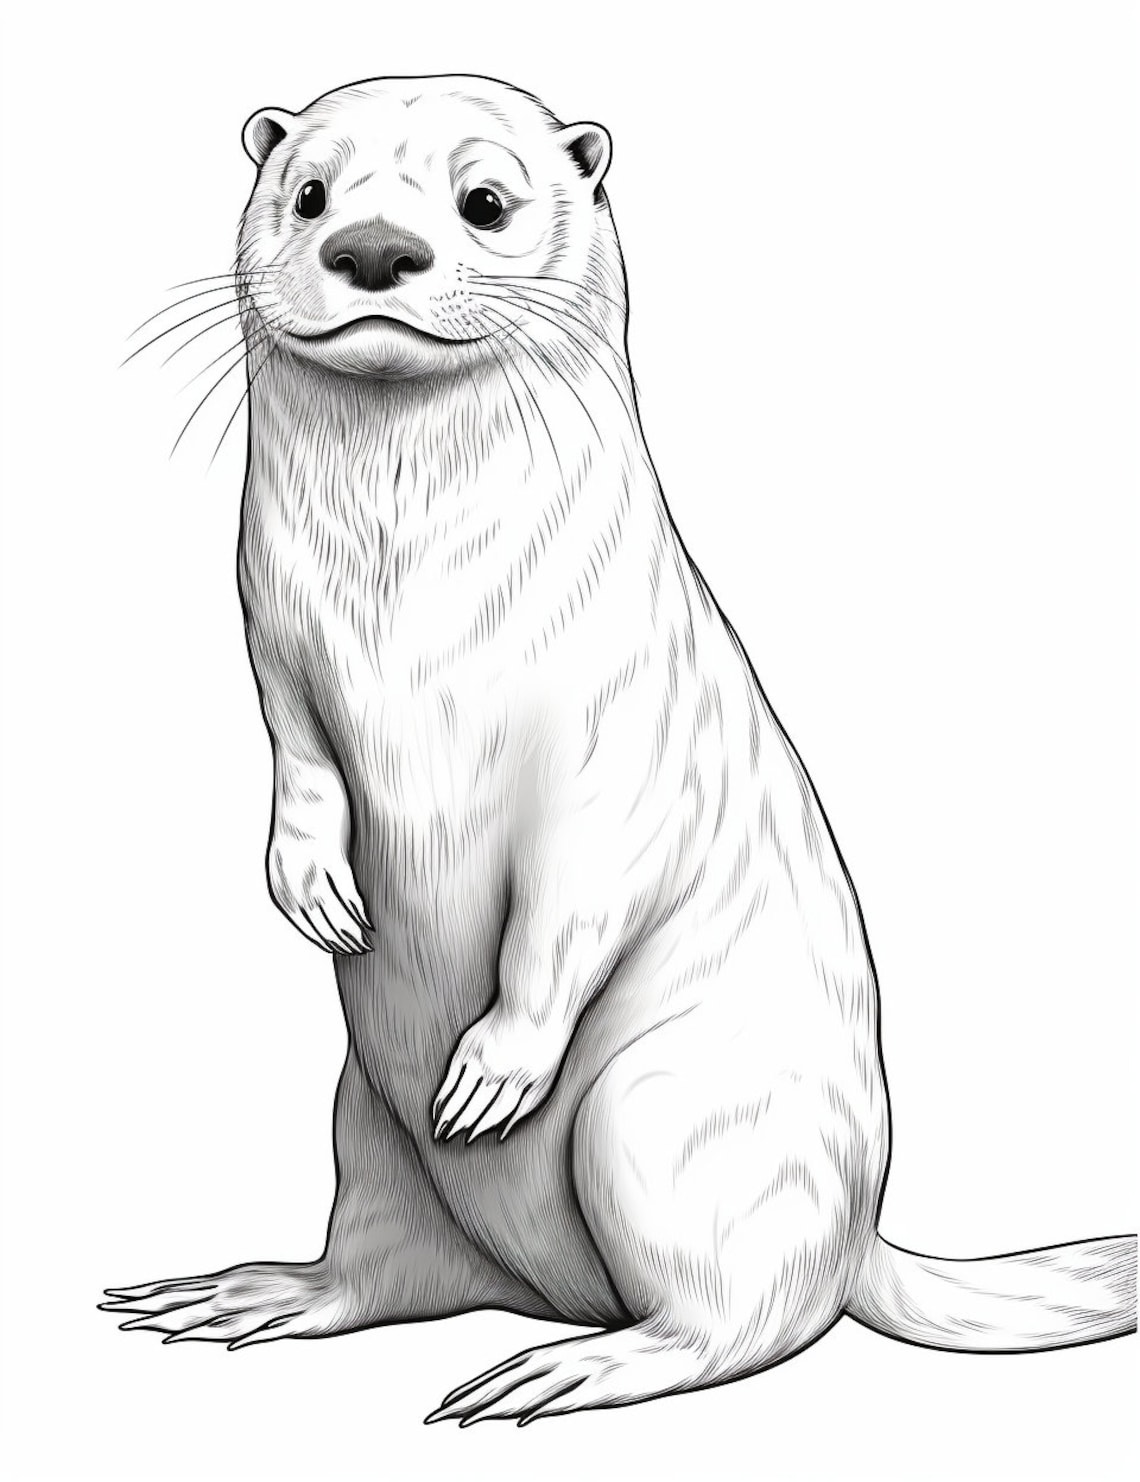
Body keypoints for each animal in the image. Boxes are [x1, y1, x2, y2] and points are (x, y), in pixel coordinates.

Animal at [102, 74, 1137, 1424]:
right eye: (310, 190)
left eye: (485, 200)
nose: (372, 249)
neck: (408, 615)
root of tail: (860, 1229)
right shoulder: (277, 642)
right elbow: (302, 765)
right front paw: (316, 890)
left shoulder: (620, 718)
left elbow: (578, 888)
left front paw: (494, 1068)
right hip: (360, 1119)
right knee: (379, 1269)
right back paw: (264, 1291)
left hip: (654, 1115)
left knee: (749, 1320)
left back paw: (575, 1364)